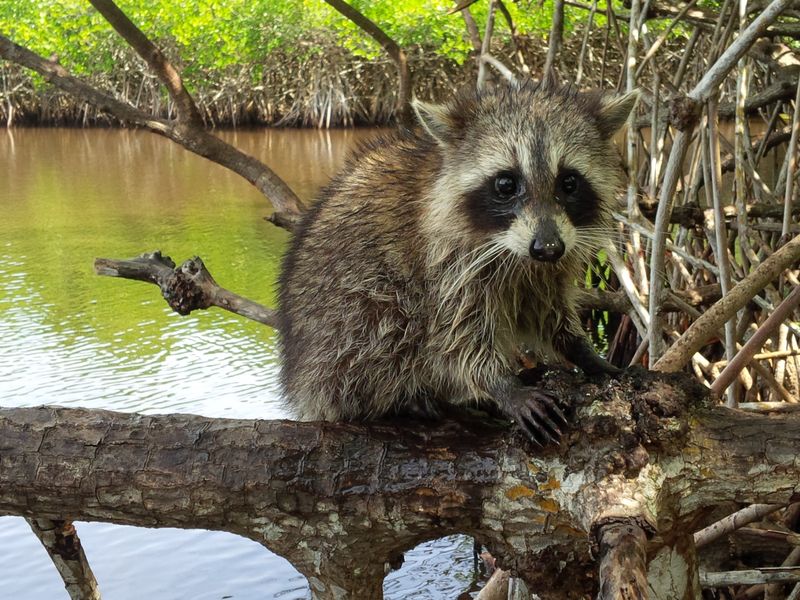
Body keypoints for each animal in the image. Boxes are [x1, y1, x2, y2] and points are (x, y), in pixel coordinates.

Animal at [278, 80, 637, 445]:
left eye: (569, 182)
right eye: (505, 184)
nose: (548, 248)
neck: (513, 252)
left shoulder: (550, 264)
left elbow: (548, 309)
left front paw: (581, 349)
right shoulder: (444, 265)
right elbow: (456, 335)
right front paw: (502, 385)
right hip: (341, 327)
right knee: (386, 324)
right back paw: (408, 399)